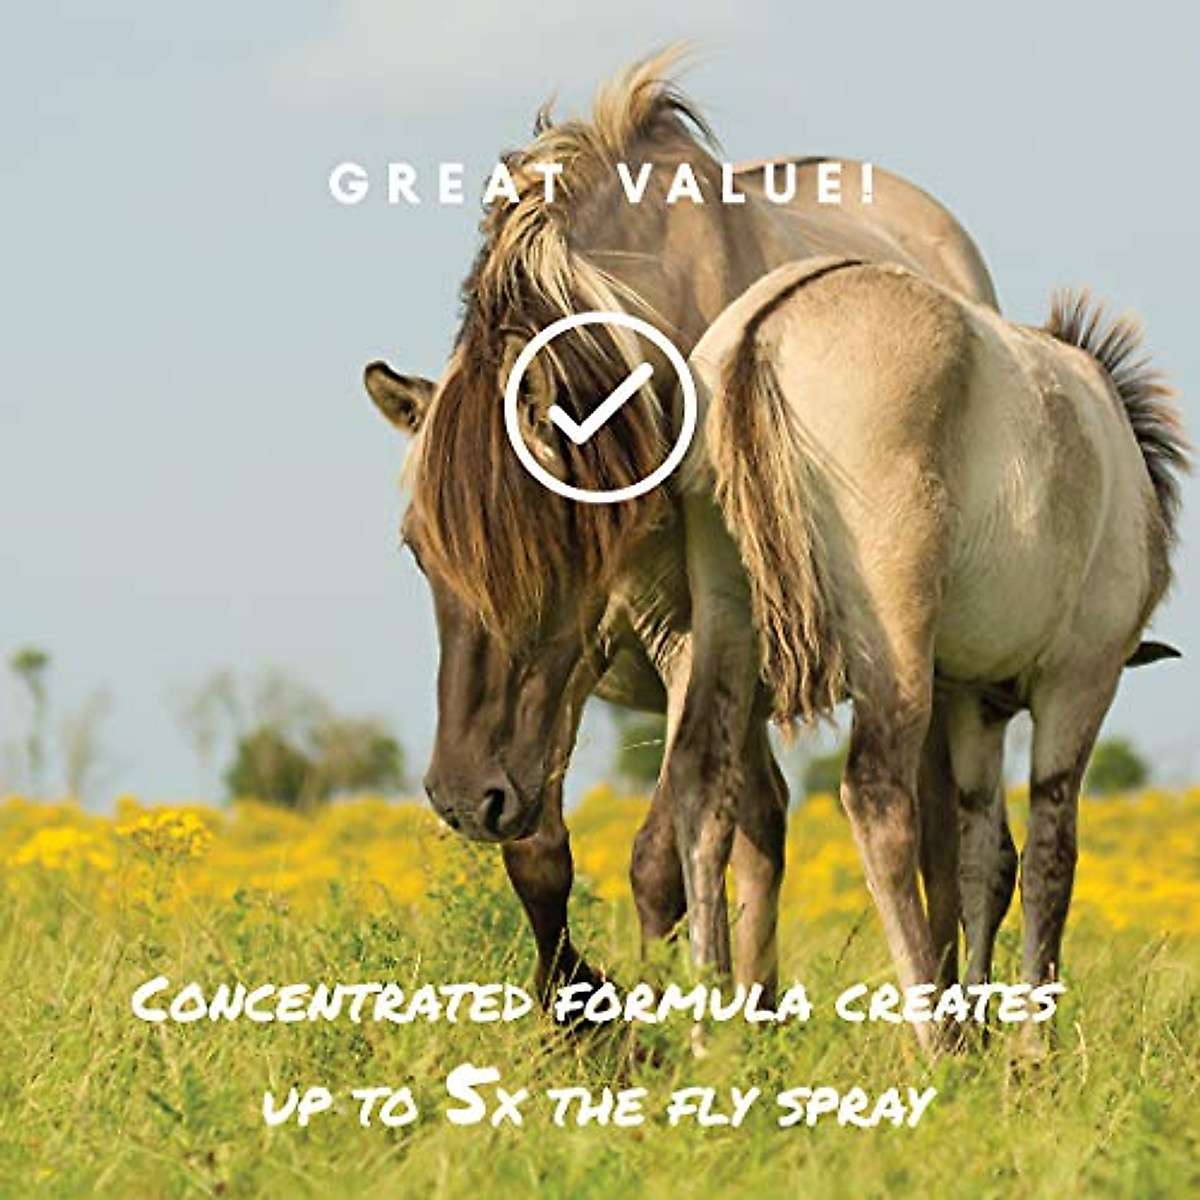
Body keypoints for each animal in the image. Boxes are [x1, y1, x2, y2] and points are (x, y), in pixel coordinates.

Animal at [362, 49, 1007, 1009]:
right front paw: (582, 1013)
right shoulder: (575, 665)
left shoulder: (688, 641)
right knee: (764, 825)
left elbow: (656, 860)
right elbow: (540, 857)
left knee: (933, 838)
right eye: (417, 551)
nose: (462, 798)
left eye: (555, 546)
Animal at [685, 258, 1187, 1050]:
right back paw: (934, 1040)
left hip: (725, 613)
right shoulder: (1079, 682)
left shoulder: (975, 705)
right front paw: (1027, 1048)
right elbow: (1050, 860)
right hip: (893, 642)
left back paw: (709, 1039)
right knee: (877, 797)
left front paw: (987, 1029)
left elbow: (987, 860)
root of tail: (765, 330)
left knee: (704, 789)